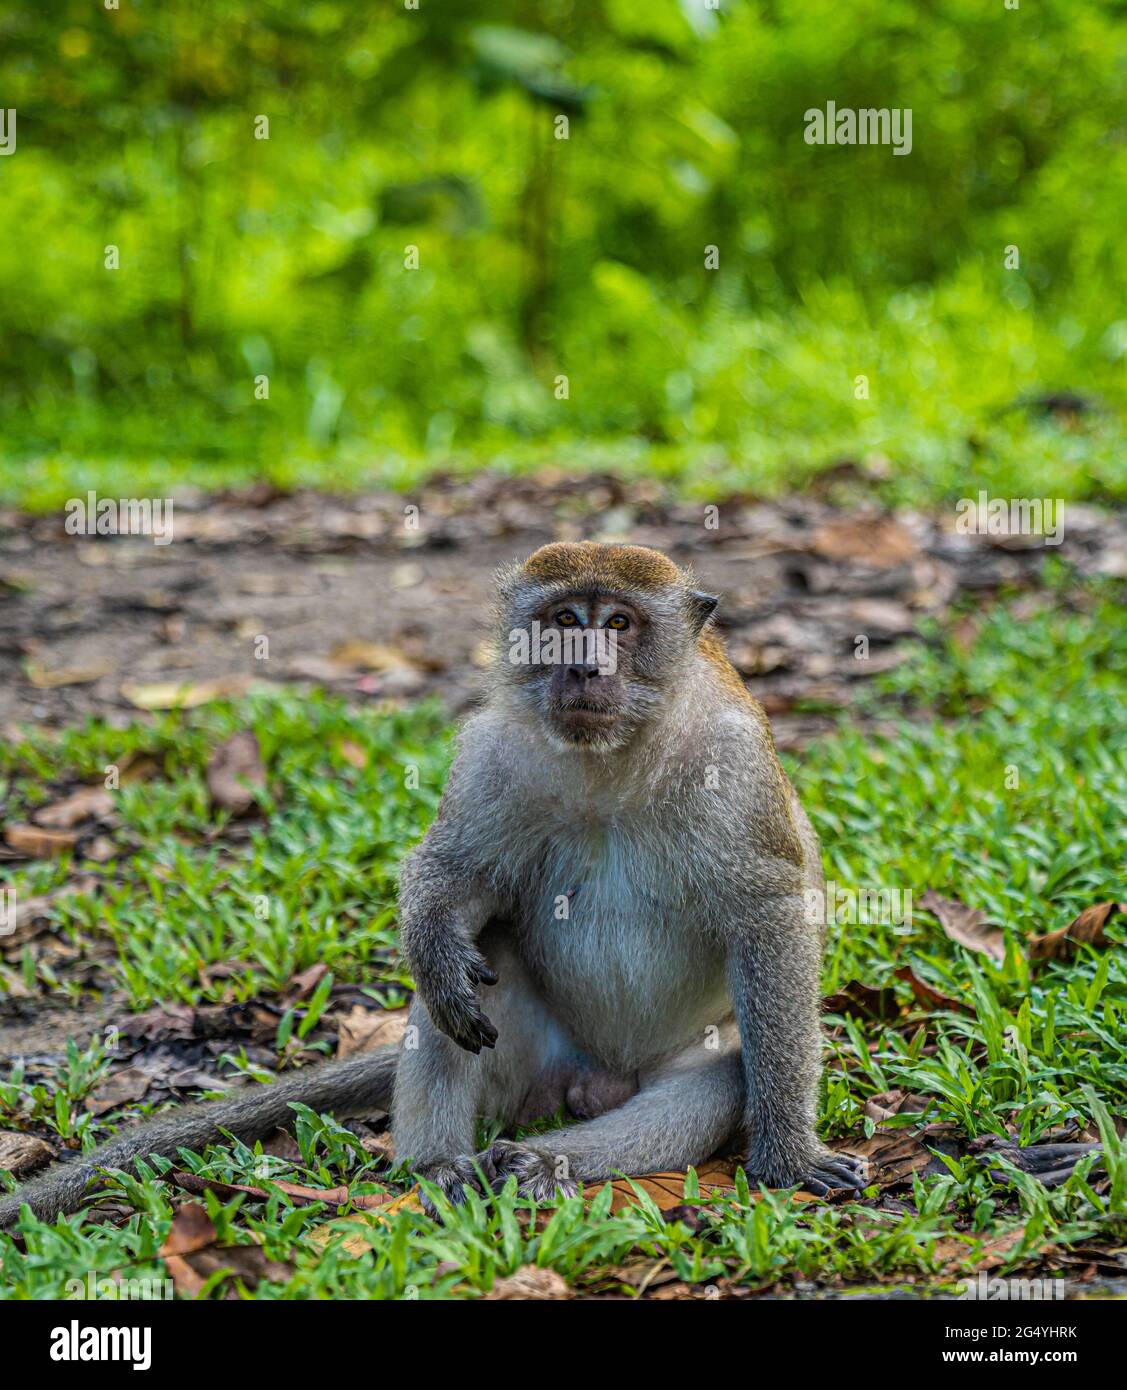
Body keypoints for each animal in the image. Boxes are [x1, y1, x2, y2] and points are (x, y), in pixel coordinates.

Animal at [0, 541, 863, 1230]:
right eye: (562, 617)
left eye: (617, 624)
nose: (583, 660)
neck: (613, 758)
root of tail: (594, 1075)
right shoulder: (487, 750)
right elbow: (455, 878)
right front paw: (436, 948)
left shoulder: (732, 764)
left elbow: (769, 918)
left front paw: (788, 1154)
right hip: (528, 1062)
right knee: (481, 968)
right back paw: (438, 1165)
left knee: (712, 1082)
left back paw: (542, 1161)